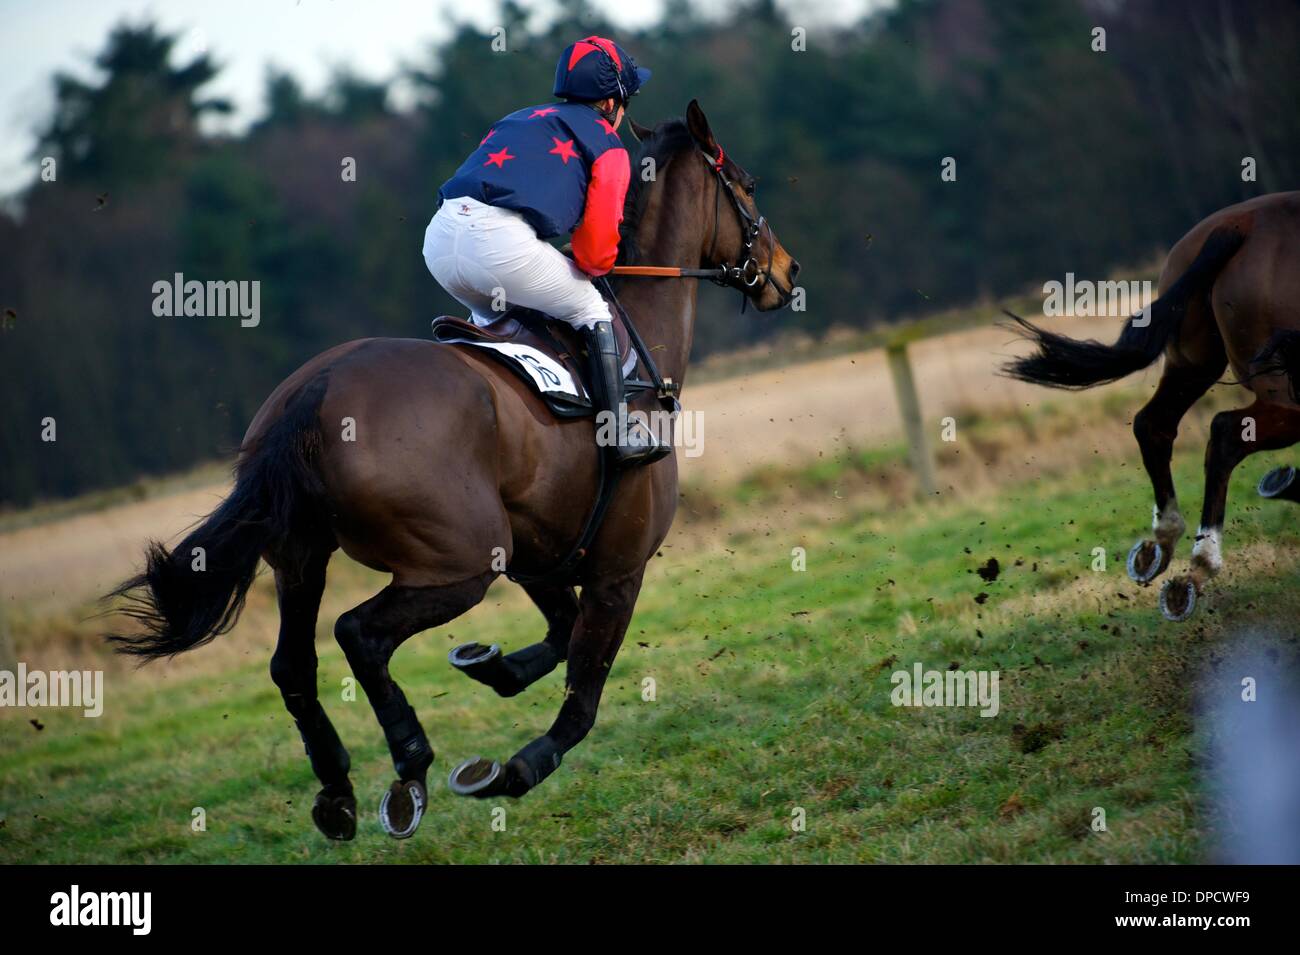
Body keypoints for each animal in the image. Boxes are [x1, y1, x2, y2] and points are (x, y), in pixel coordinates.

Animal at [105, 100, 800, 841]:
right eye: (748, 185)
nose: (787, 272)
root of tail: (315, 391)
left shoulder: (537, 554)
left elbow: (559, 634)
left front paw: (489, 663)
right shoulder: (618, 568)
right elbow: (582, 696)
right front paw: (513, 768)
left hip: (302, 557)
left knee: (293, 661)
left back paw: (337, 790)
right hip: (457, 563)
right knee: (359, 633)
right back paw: (409, 768)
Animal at [1003, 191, 1300, 622]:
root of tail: (1235, 227)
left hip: (1191, 363)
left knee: (1153, 424)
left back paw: (1161, 545)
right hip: (1282, 394)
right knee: (1226, 433)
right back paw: (1199, 565)